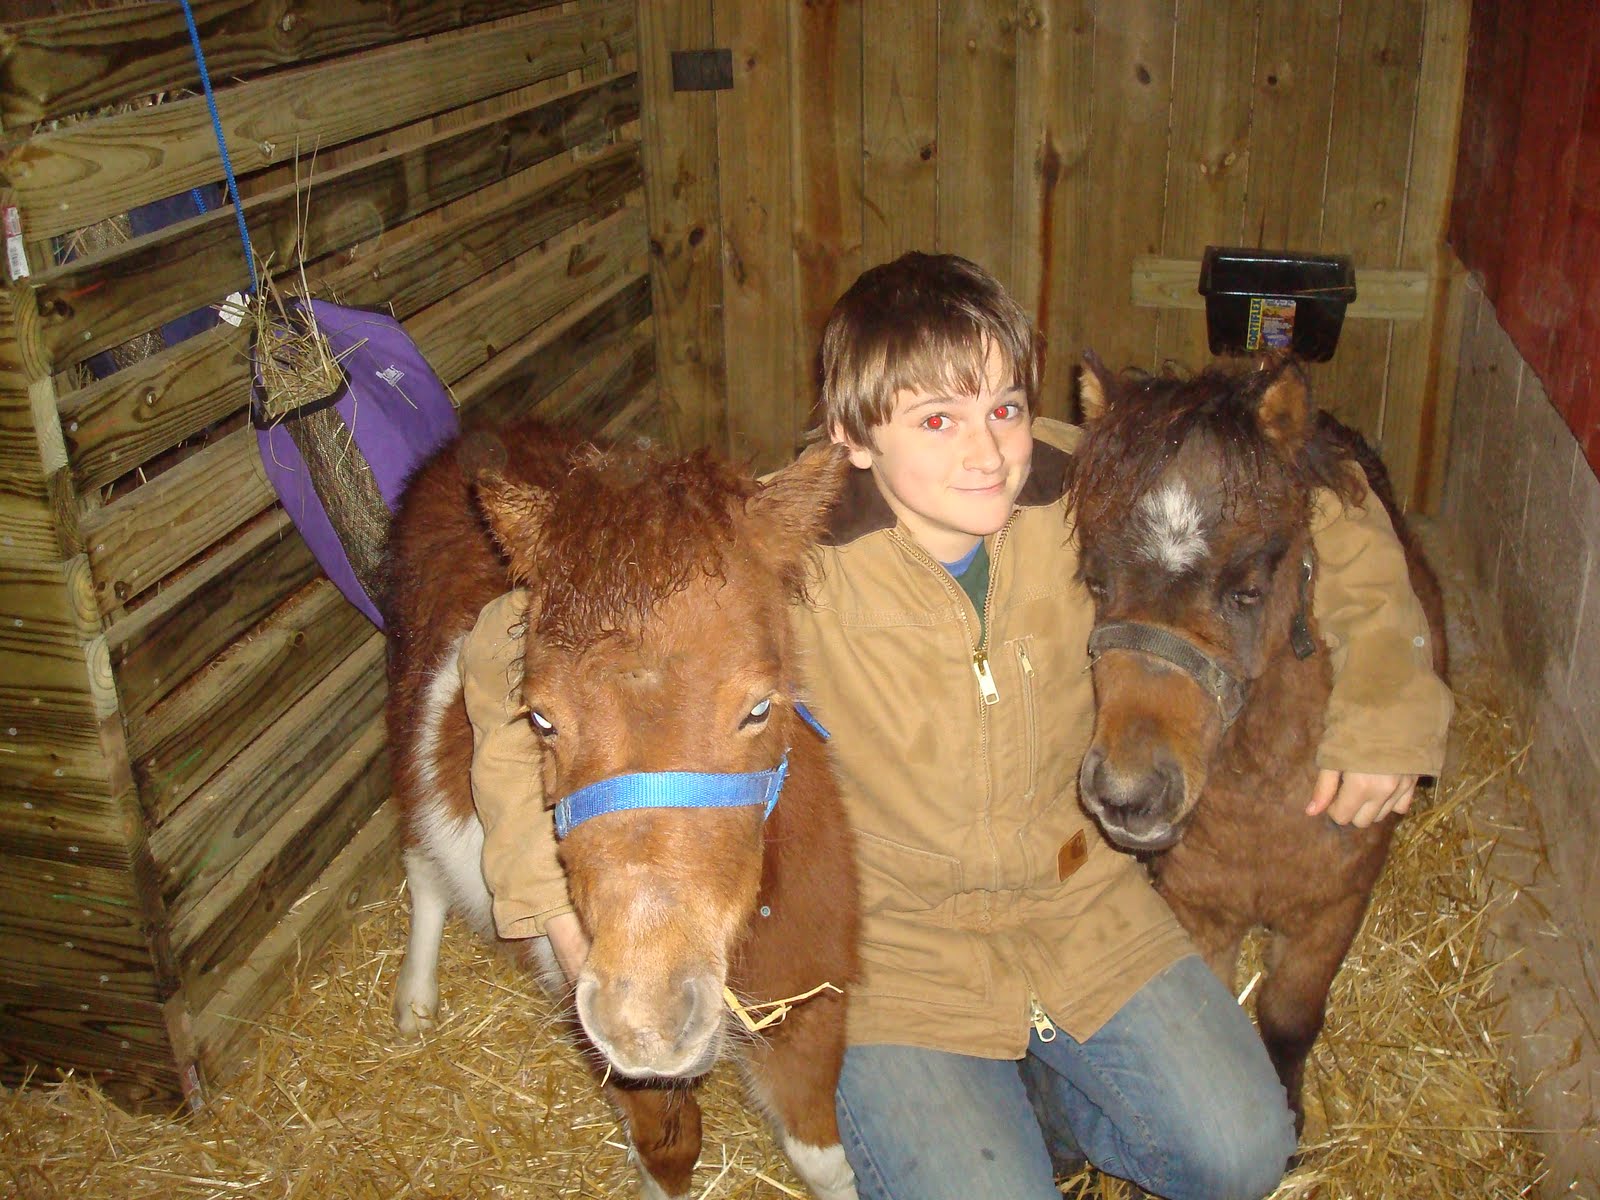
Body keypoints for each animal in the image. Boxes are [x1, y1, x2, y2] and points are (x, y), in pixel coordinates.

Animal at [381, 420, 860, 1200]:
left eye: (761, 707)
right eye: (539, 719)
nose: (650, 1017)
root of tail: (478, 437)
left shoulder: (807, 1003)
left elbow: (823, 1156)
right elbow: (670, 1150)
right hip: (407, 729)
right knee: (422, 862)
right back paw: (415, 1000)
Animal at [1068, 353, 1447, 1129]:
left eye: (1246, 589)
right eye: (1096, 580)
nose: (1127, 795)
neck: (1265, 801)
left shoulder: (1331, 914)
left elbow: (1289, 1019)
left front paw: (1294, 1121)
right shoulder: (1201, 911)